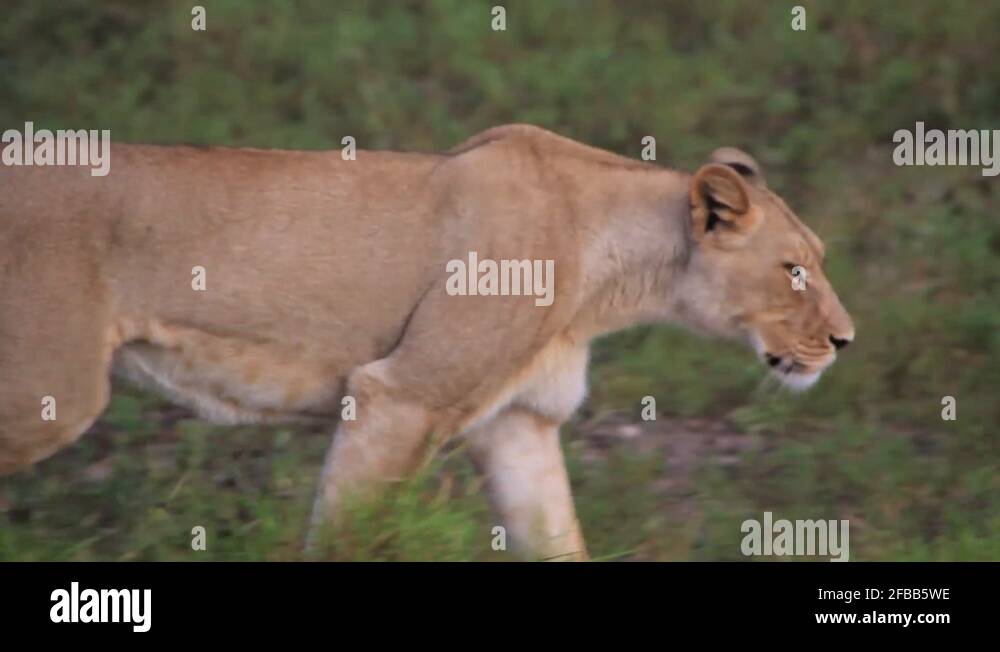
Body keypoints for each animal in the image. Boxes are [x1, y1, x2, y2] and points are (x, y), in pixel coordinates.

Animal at [0, 124, 854, 560]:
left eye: (816, 259)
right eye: (794, 270)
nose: (845, 340)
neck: (615, 275)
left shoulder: (519, 424)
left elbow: (557, 539)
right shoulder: (401, 397)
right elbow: (345, 540)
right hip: (52, 394)